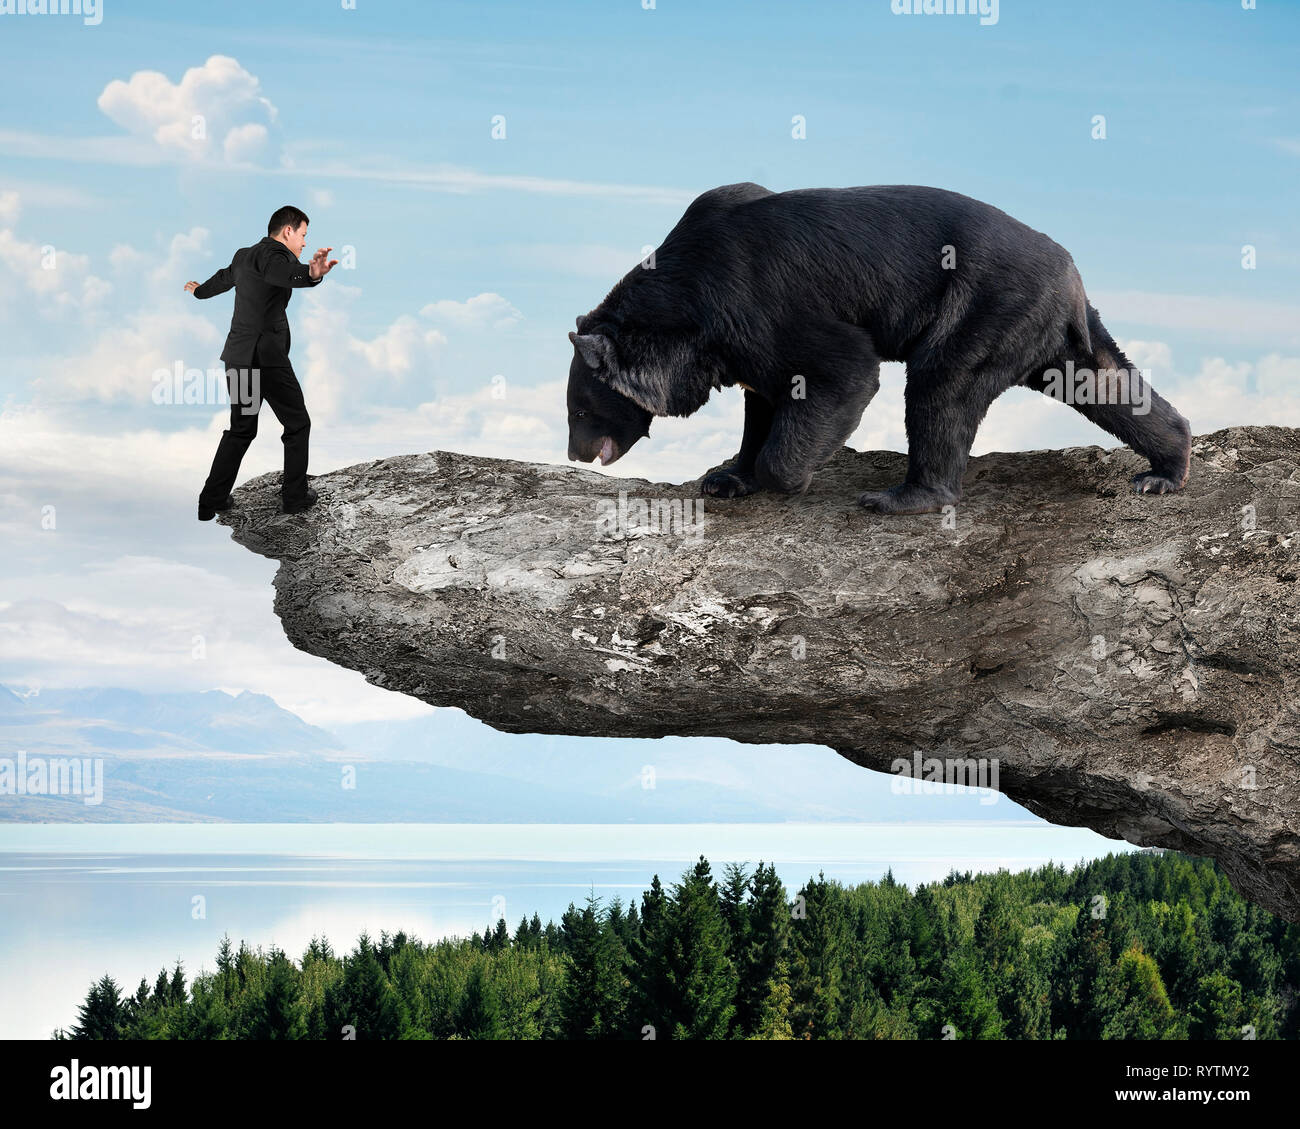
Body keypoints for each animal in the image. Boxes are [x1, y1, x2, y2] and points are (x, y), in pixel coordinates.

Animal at [566, 182, 1192, 514]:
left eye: (580, 411)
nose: (575, 454)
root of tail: (1073, 276)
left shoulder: (759, 305)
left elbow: (841, 370)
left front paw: (789, 477)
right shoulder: (738, 345)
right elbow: (763, 398)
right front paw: (726, 477)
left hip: (981, 306)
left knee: (942, 389)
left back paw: (900, 498)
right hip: (1049, 335)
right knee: (1104, 382)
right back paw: (1163, 470)